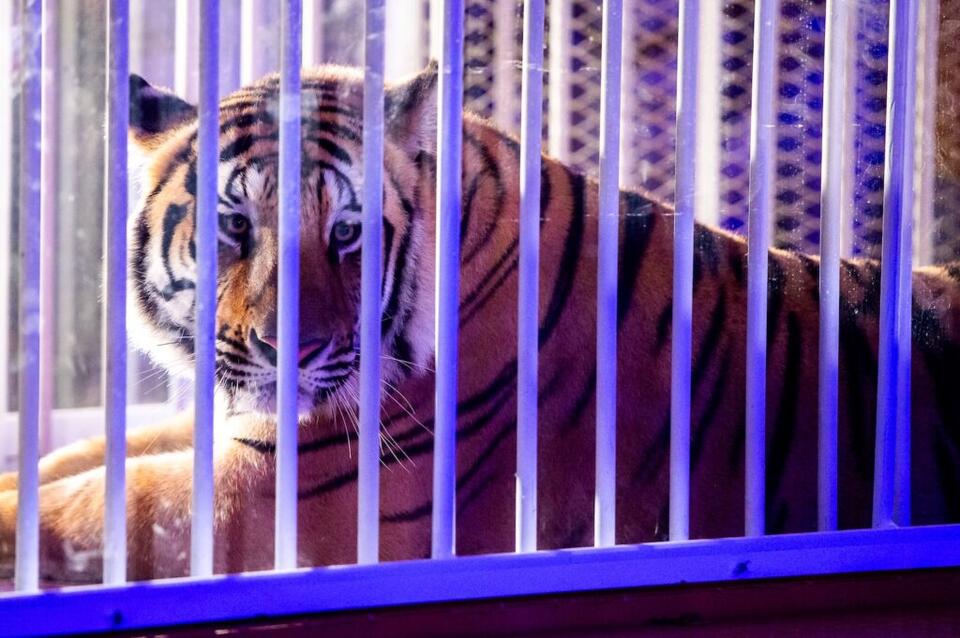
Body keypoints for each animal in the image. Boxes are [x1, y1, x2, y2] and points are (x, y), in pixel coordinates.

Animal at [1, 62, 959, 583]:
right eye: (236, 226)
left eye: (347, 234)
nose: (290, 351)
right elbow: (79, 459)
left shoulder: (292, 492)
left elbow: (95, 503)